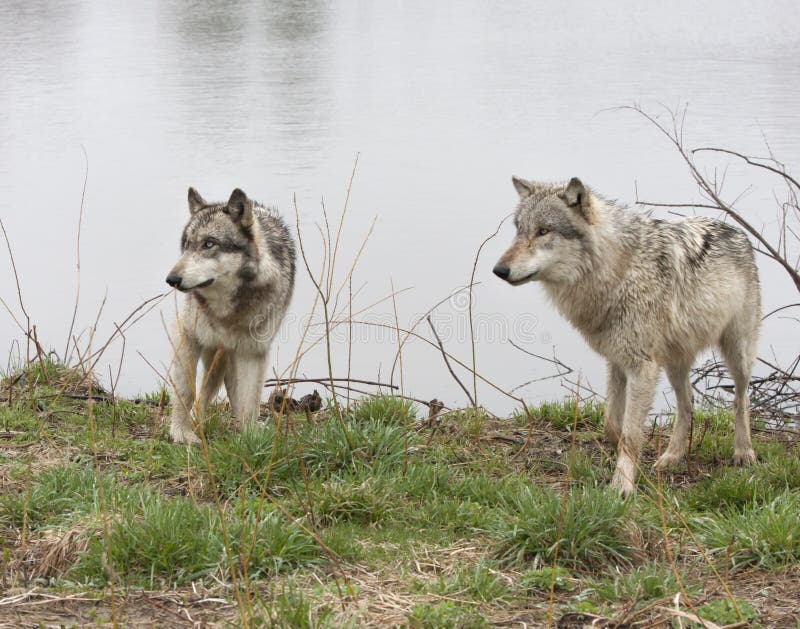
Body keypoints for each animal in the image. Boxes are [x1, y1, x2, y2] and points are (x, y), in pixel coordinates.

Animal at [165, 187, 296, 444]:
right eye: (186, 246)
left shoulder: (253, 351)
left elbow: (249, 401)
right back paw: (197, 424)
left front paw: (250, 438)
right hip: (216, 355)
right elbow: (185, 391)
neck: (225, 312)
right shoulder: (187, 335)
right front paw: (182, 433)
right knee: (206, 390)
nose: (171, 279)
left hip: (228, 355)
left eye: (209, 244)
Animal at [493, 176, 761, 495]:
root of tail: (737, 230)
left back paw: (744, 452)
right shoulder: (617, 361)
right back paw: (672, 456)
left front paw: (622, 485)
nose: (499, 270)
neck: (617, 273)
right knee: (687, 403)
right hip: (674, 363)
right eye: (519, 230)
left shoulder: (641, 366)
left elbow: (631, 434)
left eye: (543, 231)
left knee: (741, 399)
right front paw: (625, 454)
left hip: (737, 354)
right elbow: (612, 424)